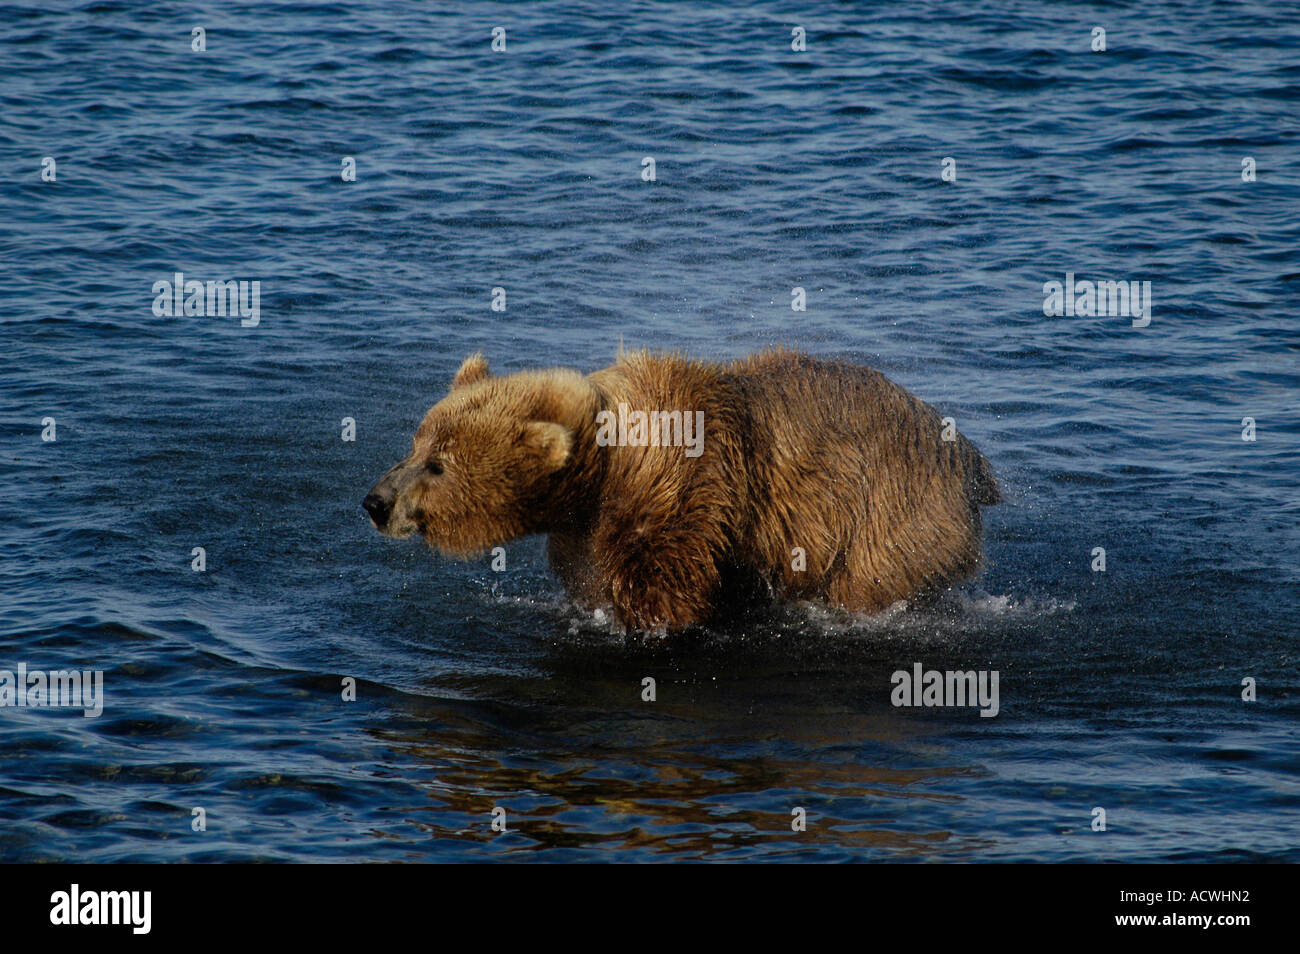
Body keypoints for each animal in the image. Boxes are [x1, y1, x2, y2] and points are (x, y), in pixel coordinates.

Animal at [363, 348, 1000, 631]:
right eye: (416, 444)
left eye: (438, 465)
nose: (376, 502)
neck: (604, 468)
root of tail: (971, 458)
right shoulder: (582, 528)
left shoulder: (678, 486)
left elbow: (664, 587)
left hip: (891, 511)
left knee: (869, 581)